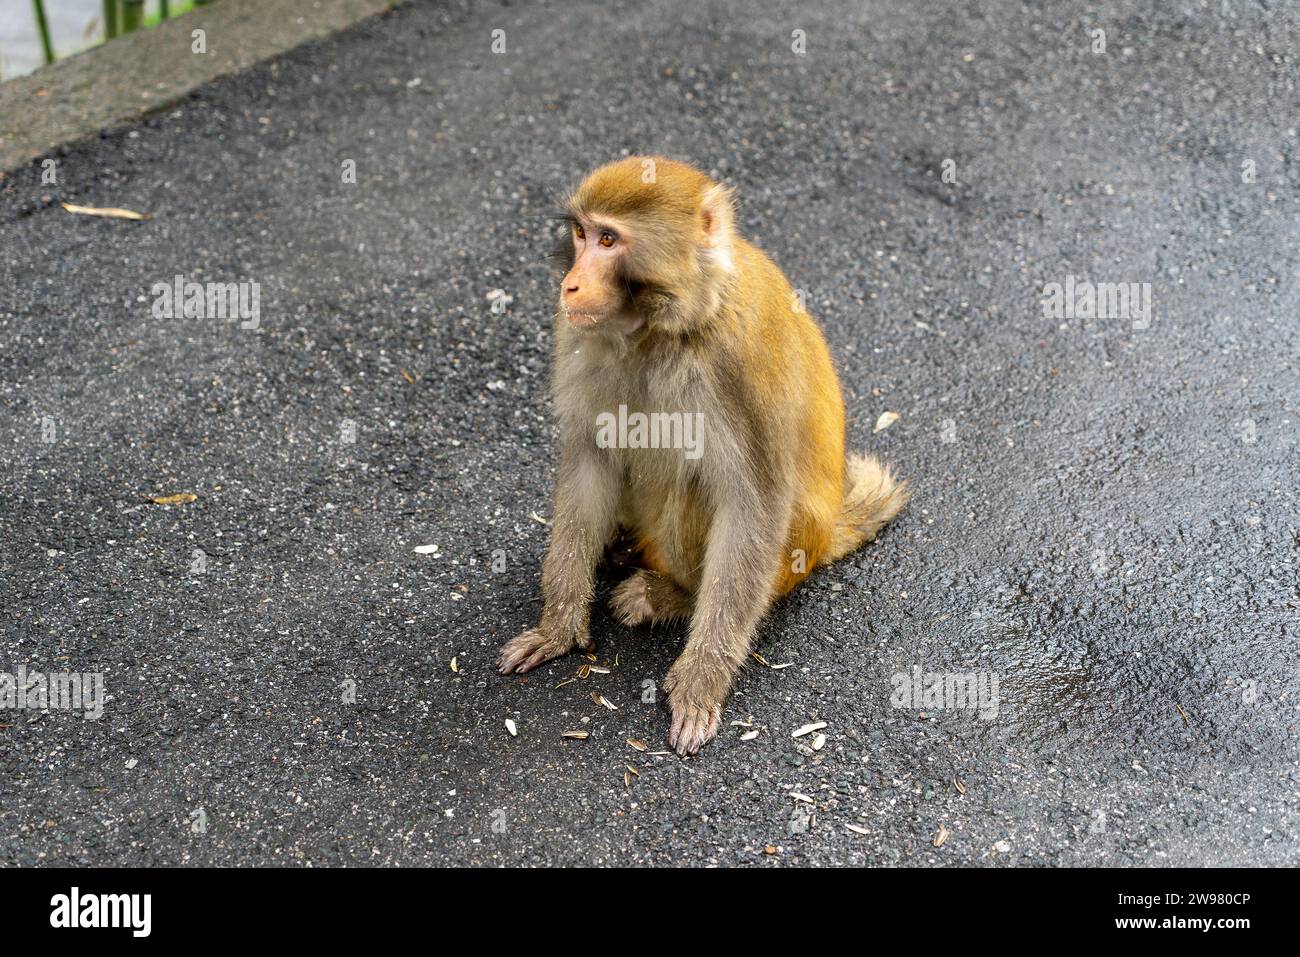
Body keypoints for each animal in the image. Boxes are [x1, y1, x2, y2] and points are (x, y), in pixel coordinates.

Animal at [496, 156, 909, 755]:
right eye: (580, 234)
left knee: (698, 488)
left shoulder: (739, 362)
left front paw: (700, 681)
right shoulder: (578, 338)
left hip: (790, 555)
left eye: (608, 239)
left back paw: (671, 597)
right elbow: (592, 458)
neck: (662, 328)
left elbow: (753, 505)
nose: (569, 284)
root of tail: (826, 533)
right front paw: (558, 629)